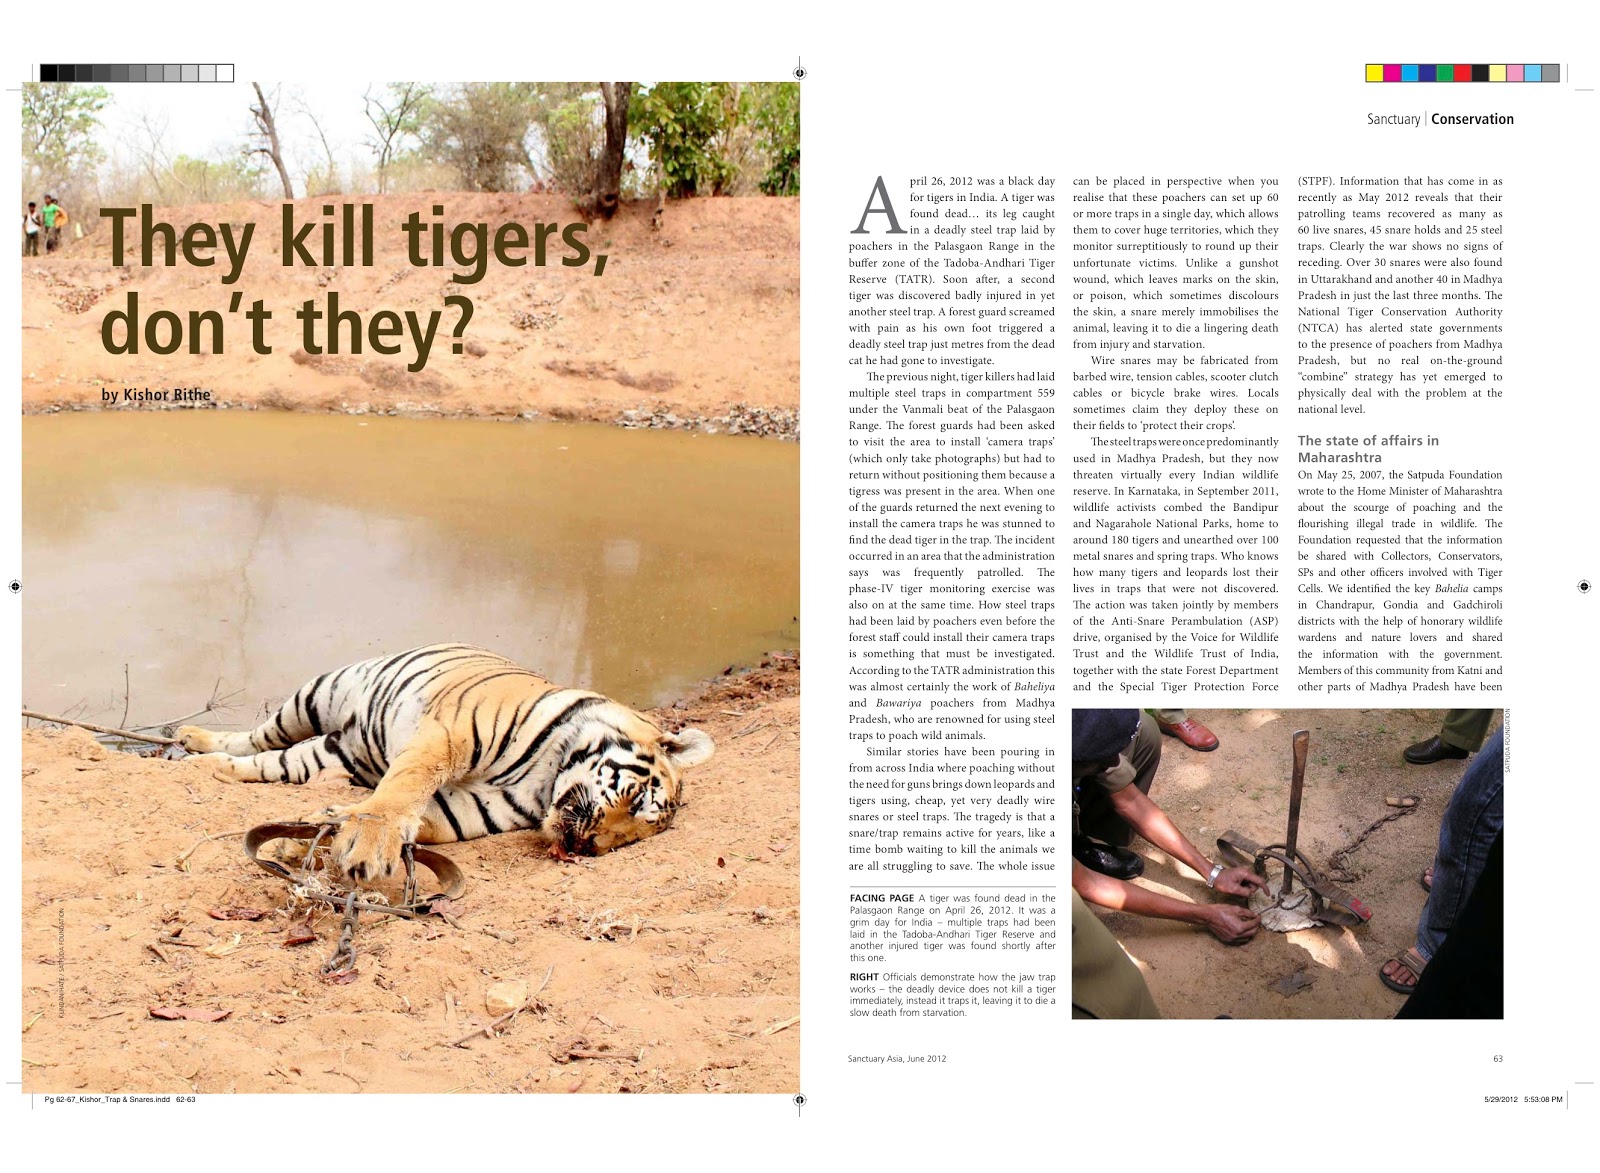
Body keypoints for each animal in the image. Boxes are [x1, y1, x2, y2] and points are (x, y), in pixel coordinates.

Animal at [176, 644, 714, 883]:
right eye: (638, 798)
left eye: (627, 842)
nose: (588, 848)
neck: (545, 778)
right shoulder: (447, 734)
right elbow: (399, 792)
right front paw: (365, 843)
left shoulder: (472, 809)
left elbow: (419, 818)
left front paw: (307, 835)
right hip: (312, 698)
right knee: (256, 735)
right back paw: (194, 741)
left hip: (330, 751)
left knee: (277, 762)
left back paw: (219, 766)